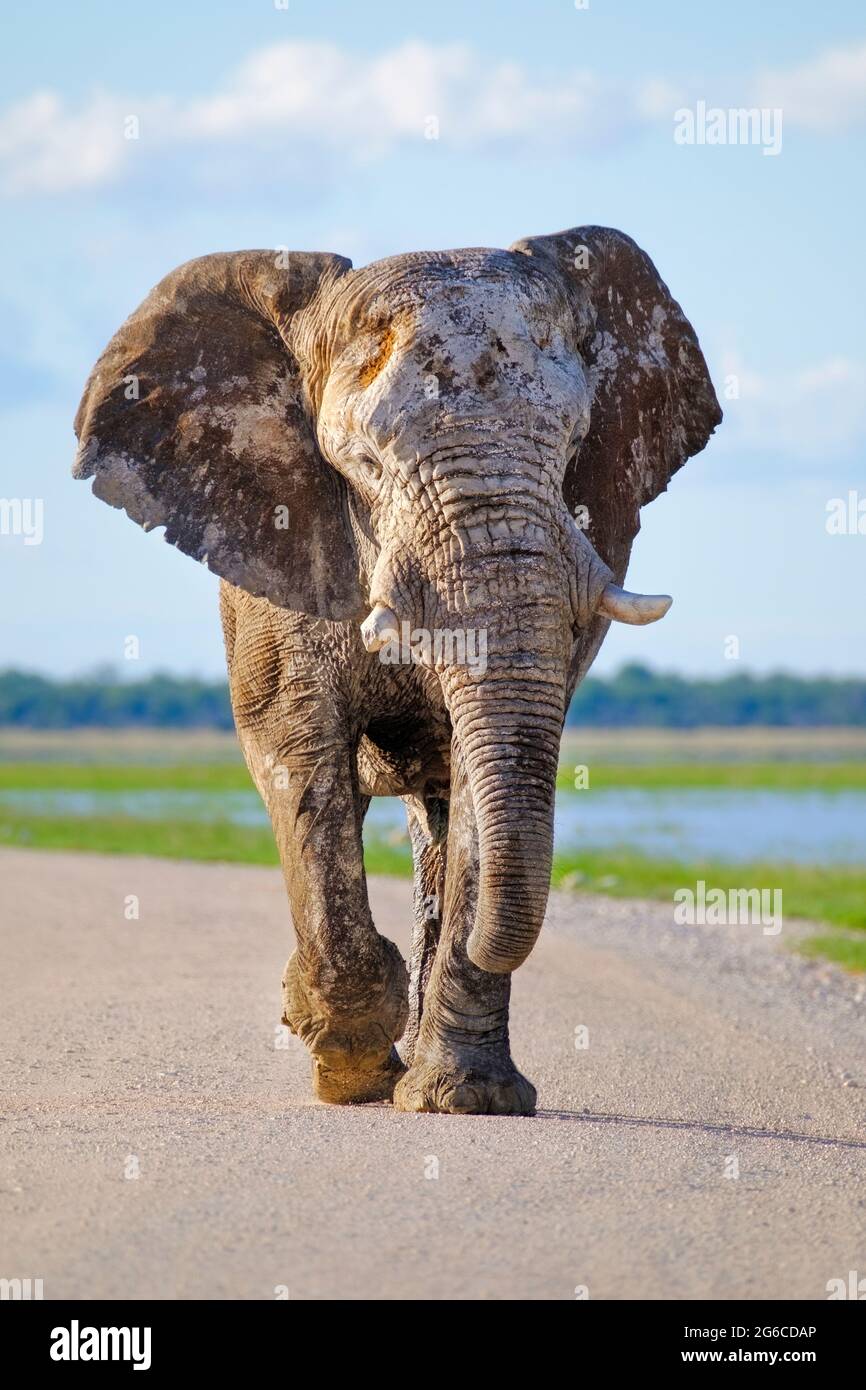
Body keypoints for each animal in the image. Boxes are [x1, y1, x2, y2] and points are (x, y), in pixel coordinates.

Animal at [73, 226, 721, 1115]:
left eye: (571, 446)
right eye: (367, 464)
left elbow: (483, 778)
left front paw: (464, 1099)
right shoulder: (283, 547)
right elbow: (296, 751)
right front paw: (347, 1067)